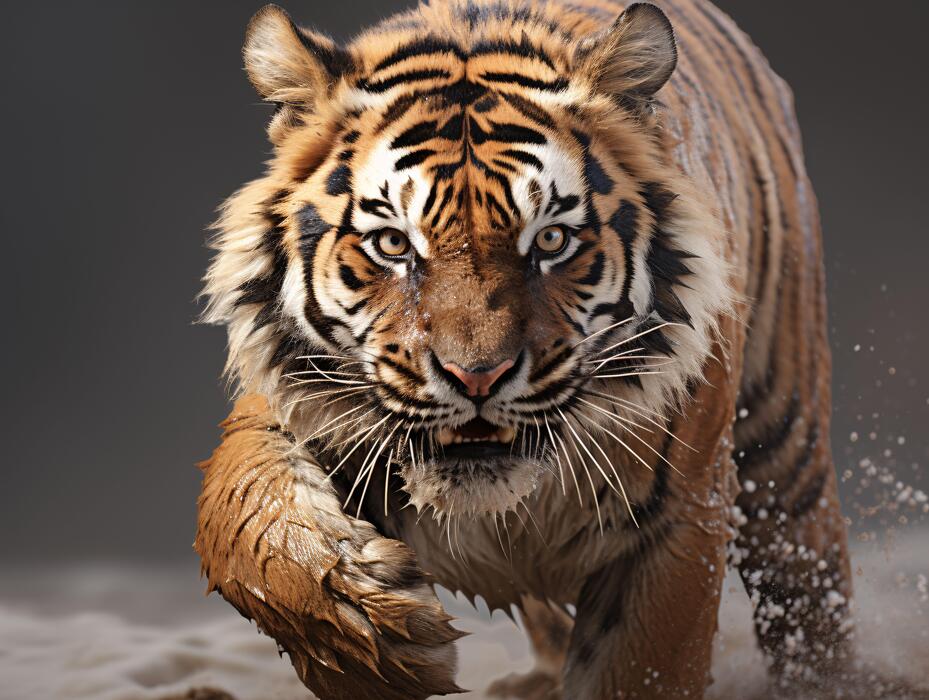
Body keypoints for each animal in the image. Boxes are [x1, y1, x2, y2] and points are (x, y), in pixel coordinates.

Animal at [196, 0, 857, 698]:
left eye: (551, 240)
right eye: (394, 245)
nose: (476, 378)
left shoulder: (684, 513)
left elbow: (645, 668)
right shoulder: (288, 402)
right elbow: (246, 515)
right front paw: (377, 638)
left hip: (786, 445)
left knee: (812, 592)